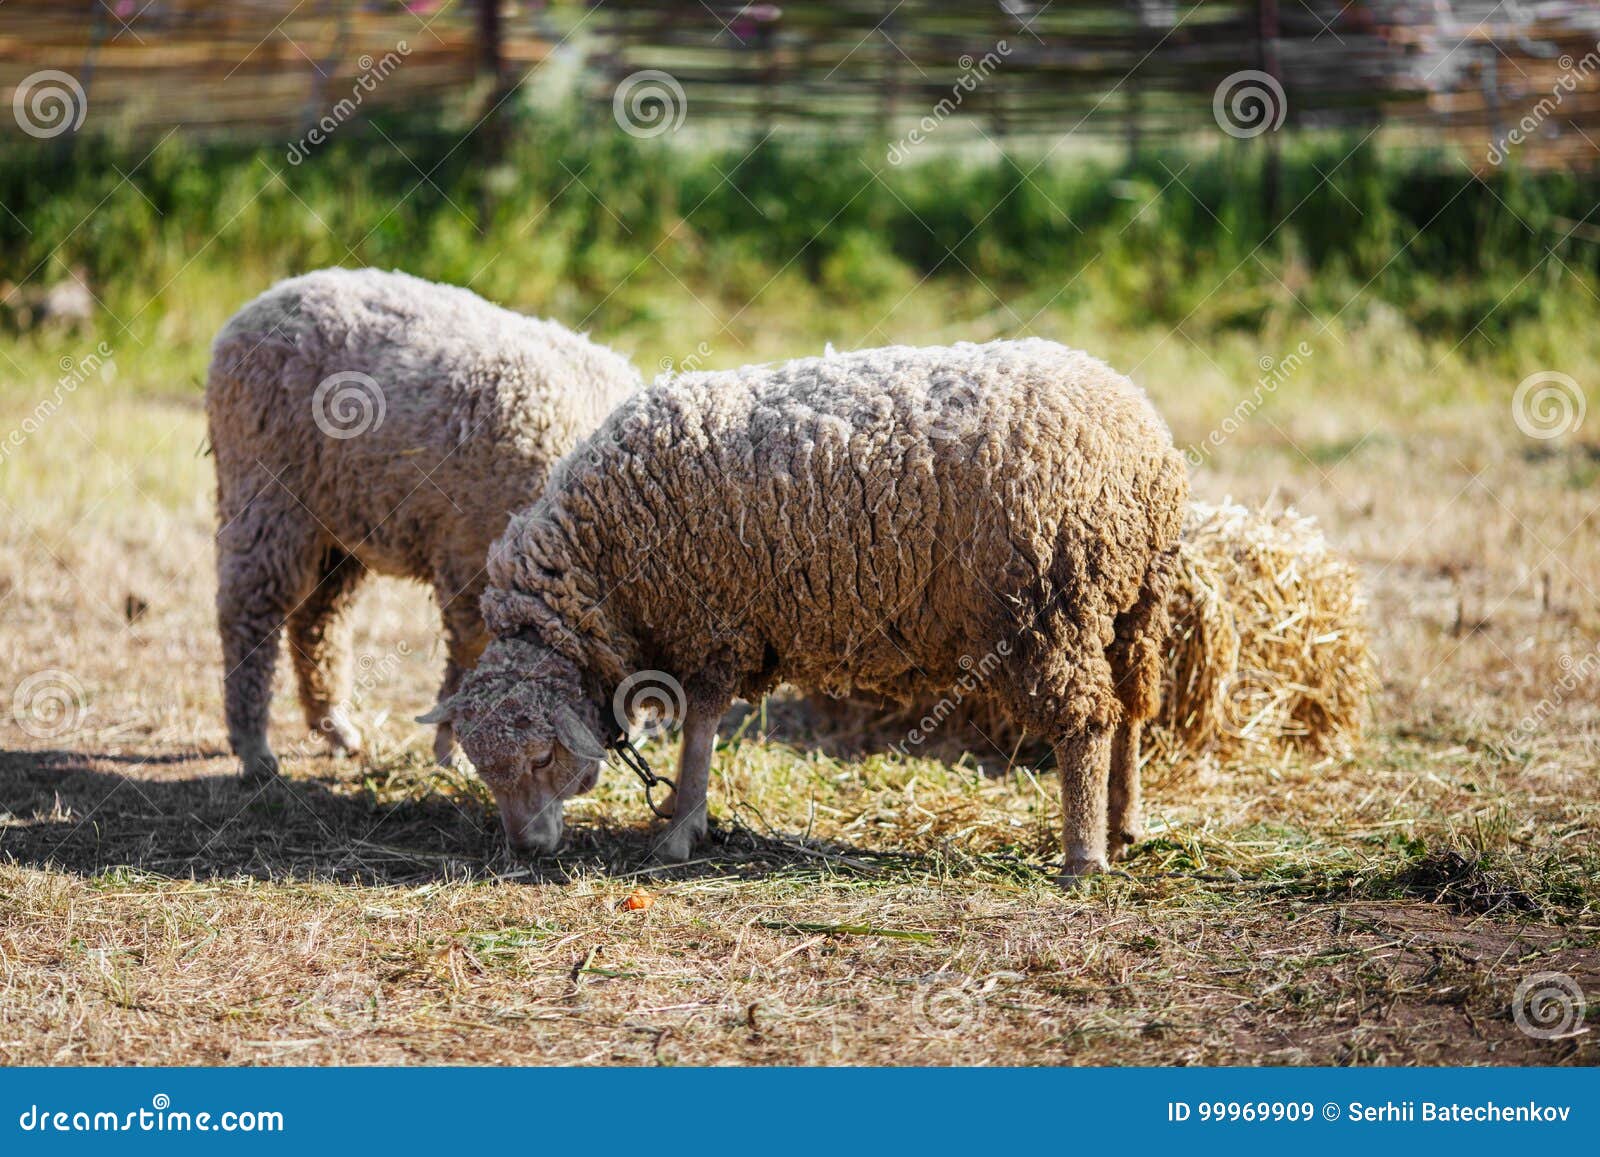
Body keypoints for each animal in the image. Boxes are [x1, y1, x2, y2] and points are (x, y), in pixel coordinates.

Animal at [206, 267, 641, 781]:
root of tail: (271, 296)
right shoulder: (470, 562)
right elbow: (469, 658)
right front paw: (455, 753)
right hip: (265, 493)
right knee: (249, 612)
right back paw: (253, 745)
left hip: (339, 522)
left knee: (317, 620)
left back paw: (334, 727)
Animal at [422, 338, 1188, 879]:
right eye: (484, 770)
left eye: (543, 756)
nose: (528, 849)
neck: (602, 568)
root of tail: (1142, 439)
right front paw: (681, 815)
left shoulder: (711, 622)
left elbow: (700, 728)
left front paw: (679, 829)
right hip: (1130, 604)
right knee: (1131, 709)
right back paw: (1123, 822)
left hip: (1050, 607)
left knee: (1085, 722)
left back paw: (1083, 855)